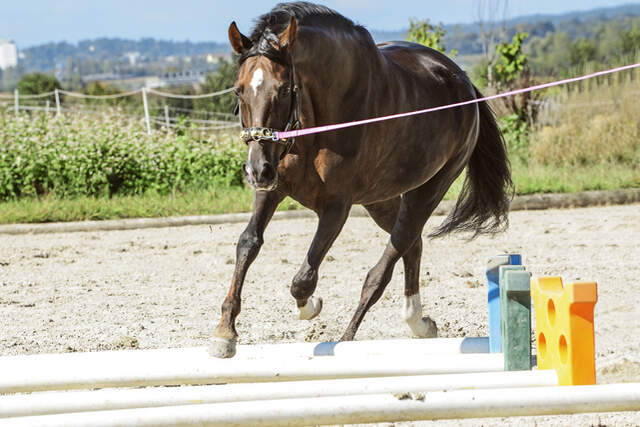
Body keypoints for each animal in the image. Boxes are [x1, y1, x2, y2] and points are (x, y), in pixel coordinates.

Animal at [210, 2, 512, 358]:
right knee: (412, 245)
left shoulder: (336, 206)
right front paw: (225, 333)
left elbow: (305, 277)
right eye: (238, 90)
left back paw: (348, 339)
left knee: (385, 265)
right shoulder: (274, 190)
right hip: (379, 200)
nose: (257, 170)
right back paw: (419, 323)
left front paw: (309, 305)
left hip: (427, 190)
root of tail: (463, 82)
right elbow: (248, 243)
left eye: (283, 90)